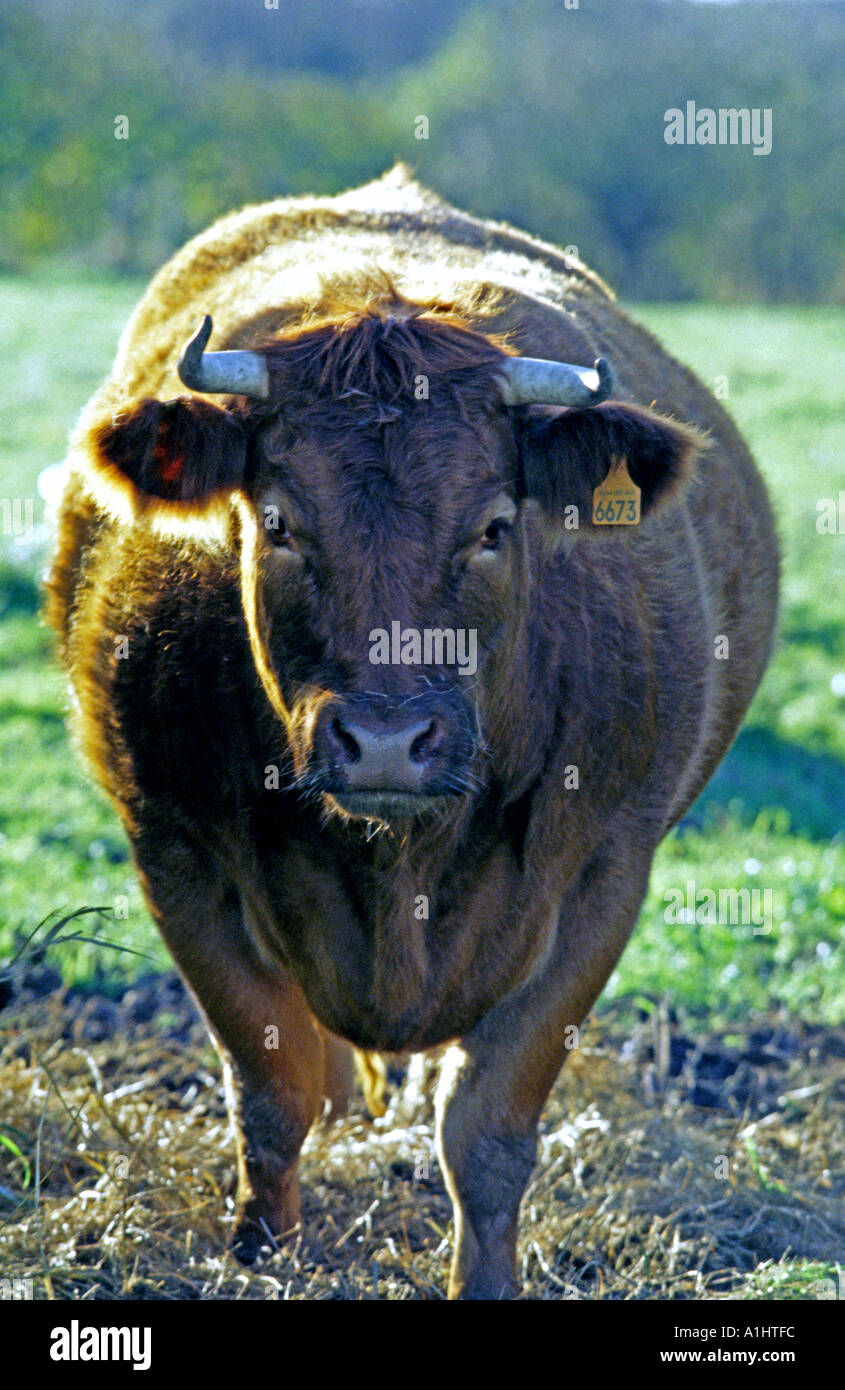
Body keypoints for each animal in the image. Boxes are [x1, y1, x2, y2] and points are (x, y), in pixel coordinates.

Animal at [45, 164, 779, 1299]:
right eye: (277, 522)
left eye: (493, 526)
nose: (387, 742)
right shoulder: (171, 846)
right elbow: (272, 1085)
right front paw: (262, 1254)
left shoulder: (602, 876)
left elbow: (484, 1130)